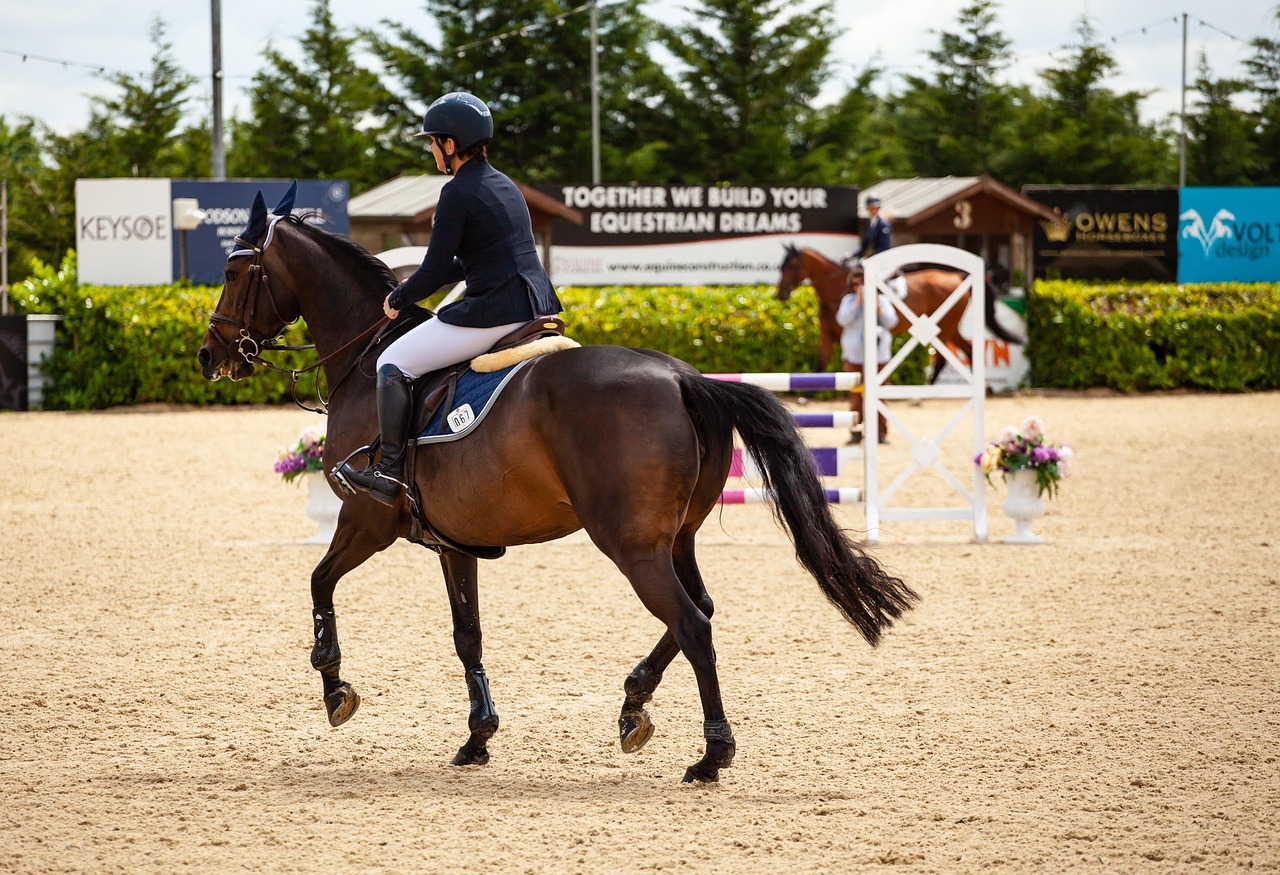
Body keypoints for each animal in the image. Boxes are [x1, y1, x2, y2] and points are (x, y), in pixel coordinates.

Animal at [198, 187, 919, 784]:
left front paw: (334, 689)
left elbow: (318, 582)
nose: (211, 355)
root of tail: (683, 377)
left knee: (691, 623)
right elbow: (467, 635)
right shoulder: (453, 543)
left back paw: (711, 754)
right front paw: (478, 738)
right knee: (702, 609)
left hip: (628, 543)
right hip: (673, 538)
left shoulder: (366, 522)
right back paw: (633, 706)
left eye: (233, 272)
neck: (366, 358)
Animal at [775, 244, 1022, 381]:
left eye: (792, 266)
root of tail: (957, 276)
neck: (837, 288)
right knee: (968, 351)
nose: (780, 294)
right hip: (950, 329)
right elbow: (820, 365)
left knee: (943, 359)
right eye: (781, 266)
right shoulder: (828, 334)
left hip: (942, 328)